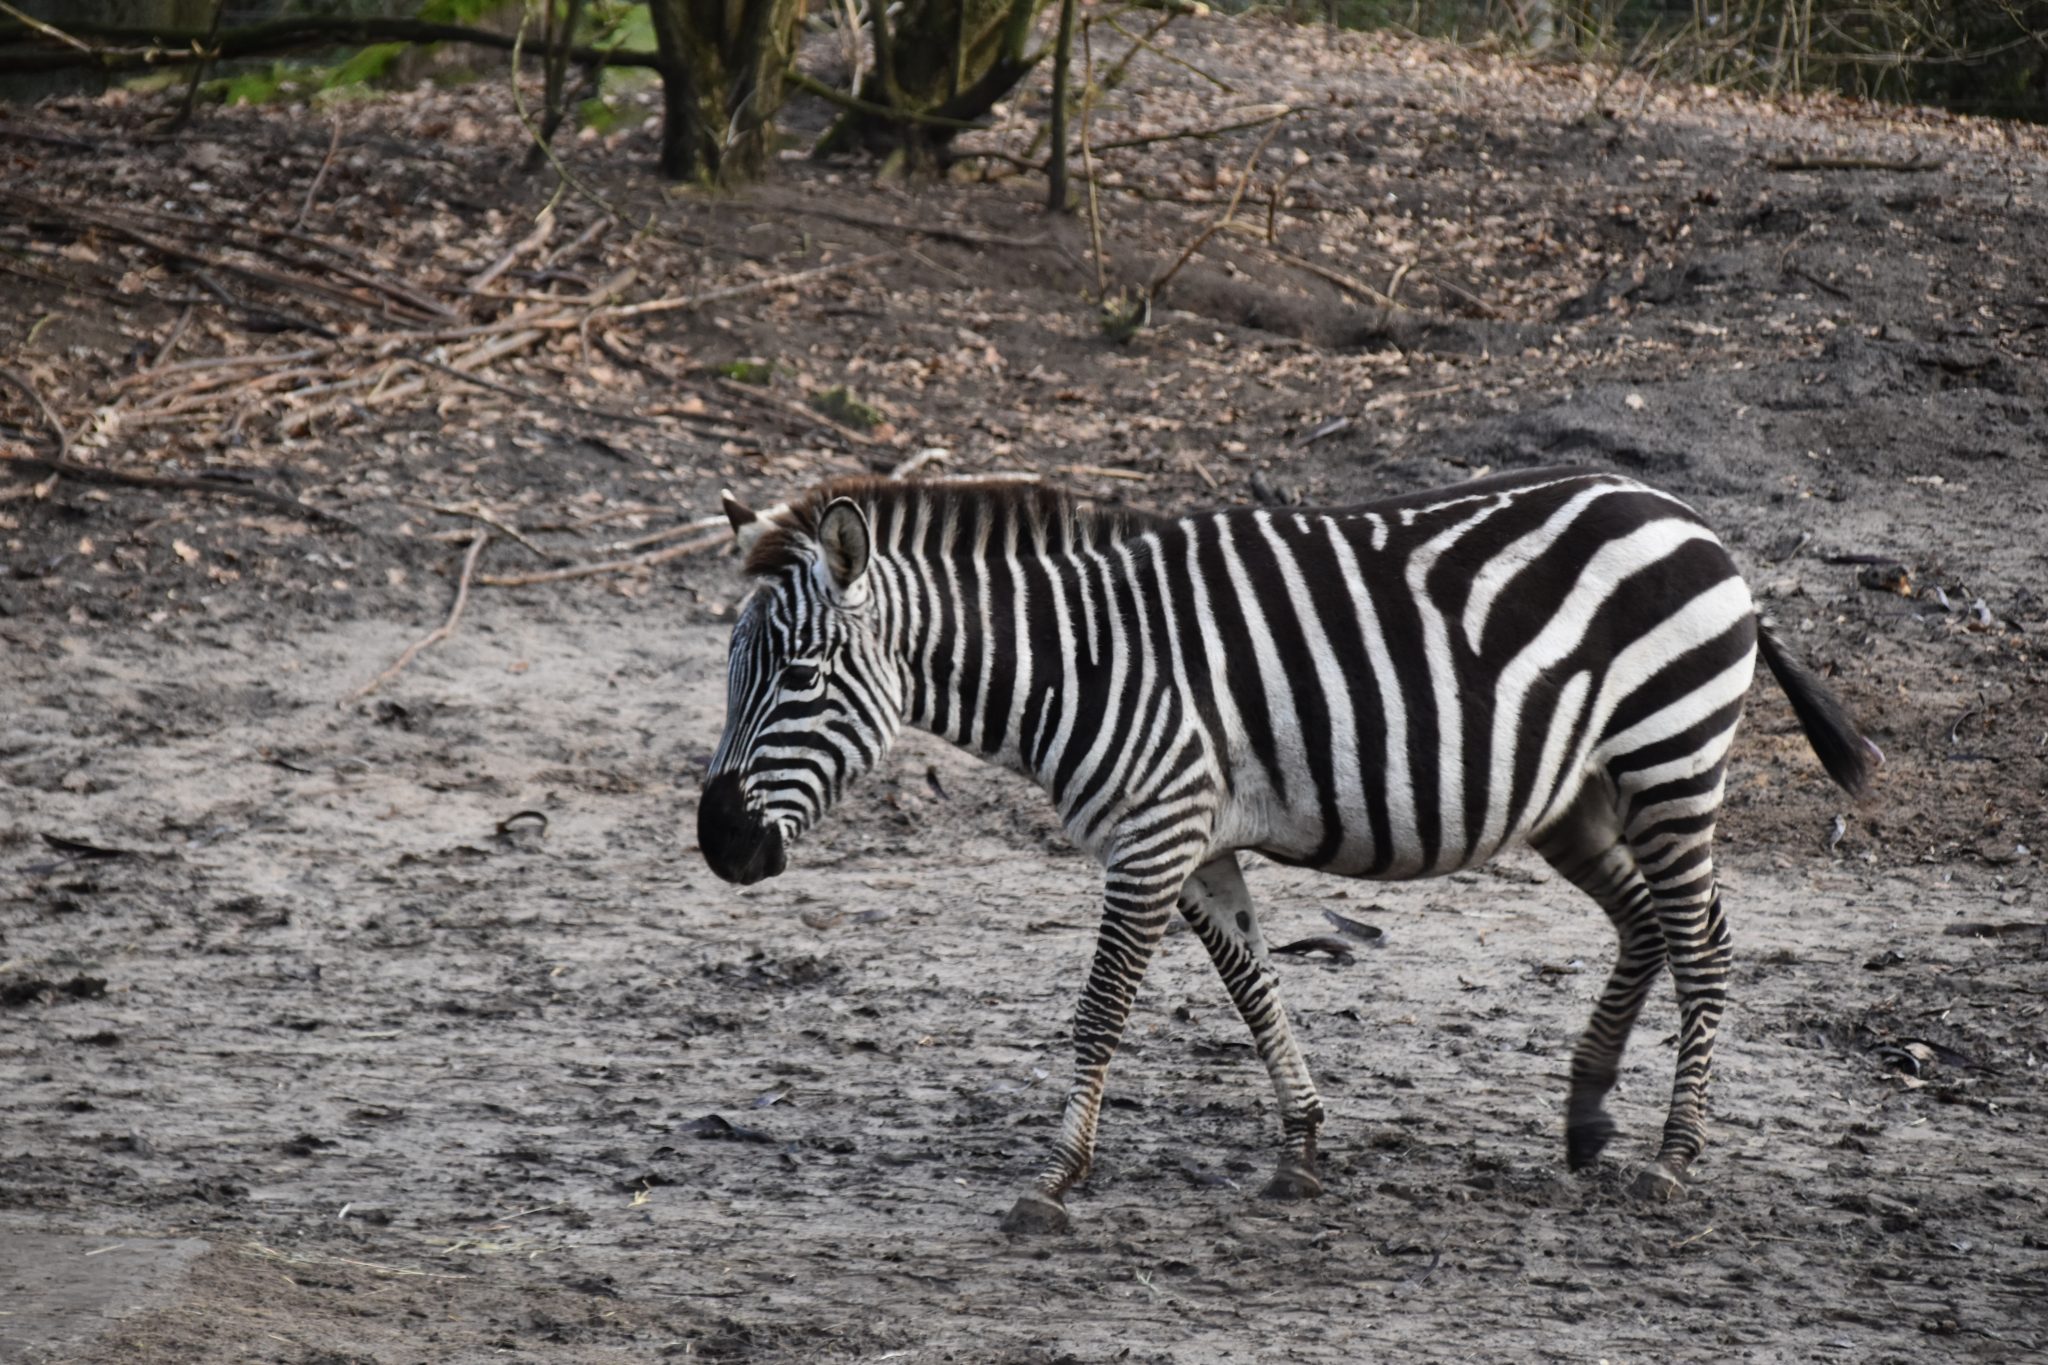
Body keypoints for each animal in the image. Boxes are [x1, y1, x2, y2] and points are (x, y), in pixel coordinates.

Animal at [698, 467, 1877, 1234]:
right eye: (730, 671)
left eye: (797, 676)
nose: (717, 845)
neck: (1076, 659)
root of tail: (1687, 518)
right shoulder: (1192, 843)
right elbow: (1253, 984)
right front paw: (1301, 1147)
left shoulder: (1152, 832)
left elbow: (1099, 1011)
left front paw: (1056, 1178)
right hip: (1572, 797)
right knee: (1644, 924)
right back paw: (1587, 1119)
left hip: (1669, 758)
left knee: (1703, 941)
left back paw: (1673, 1159)